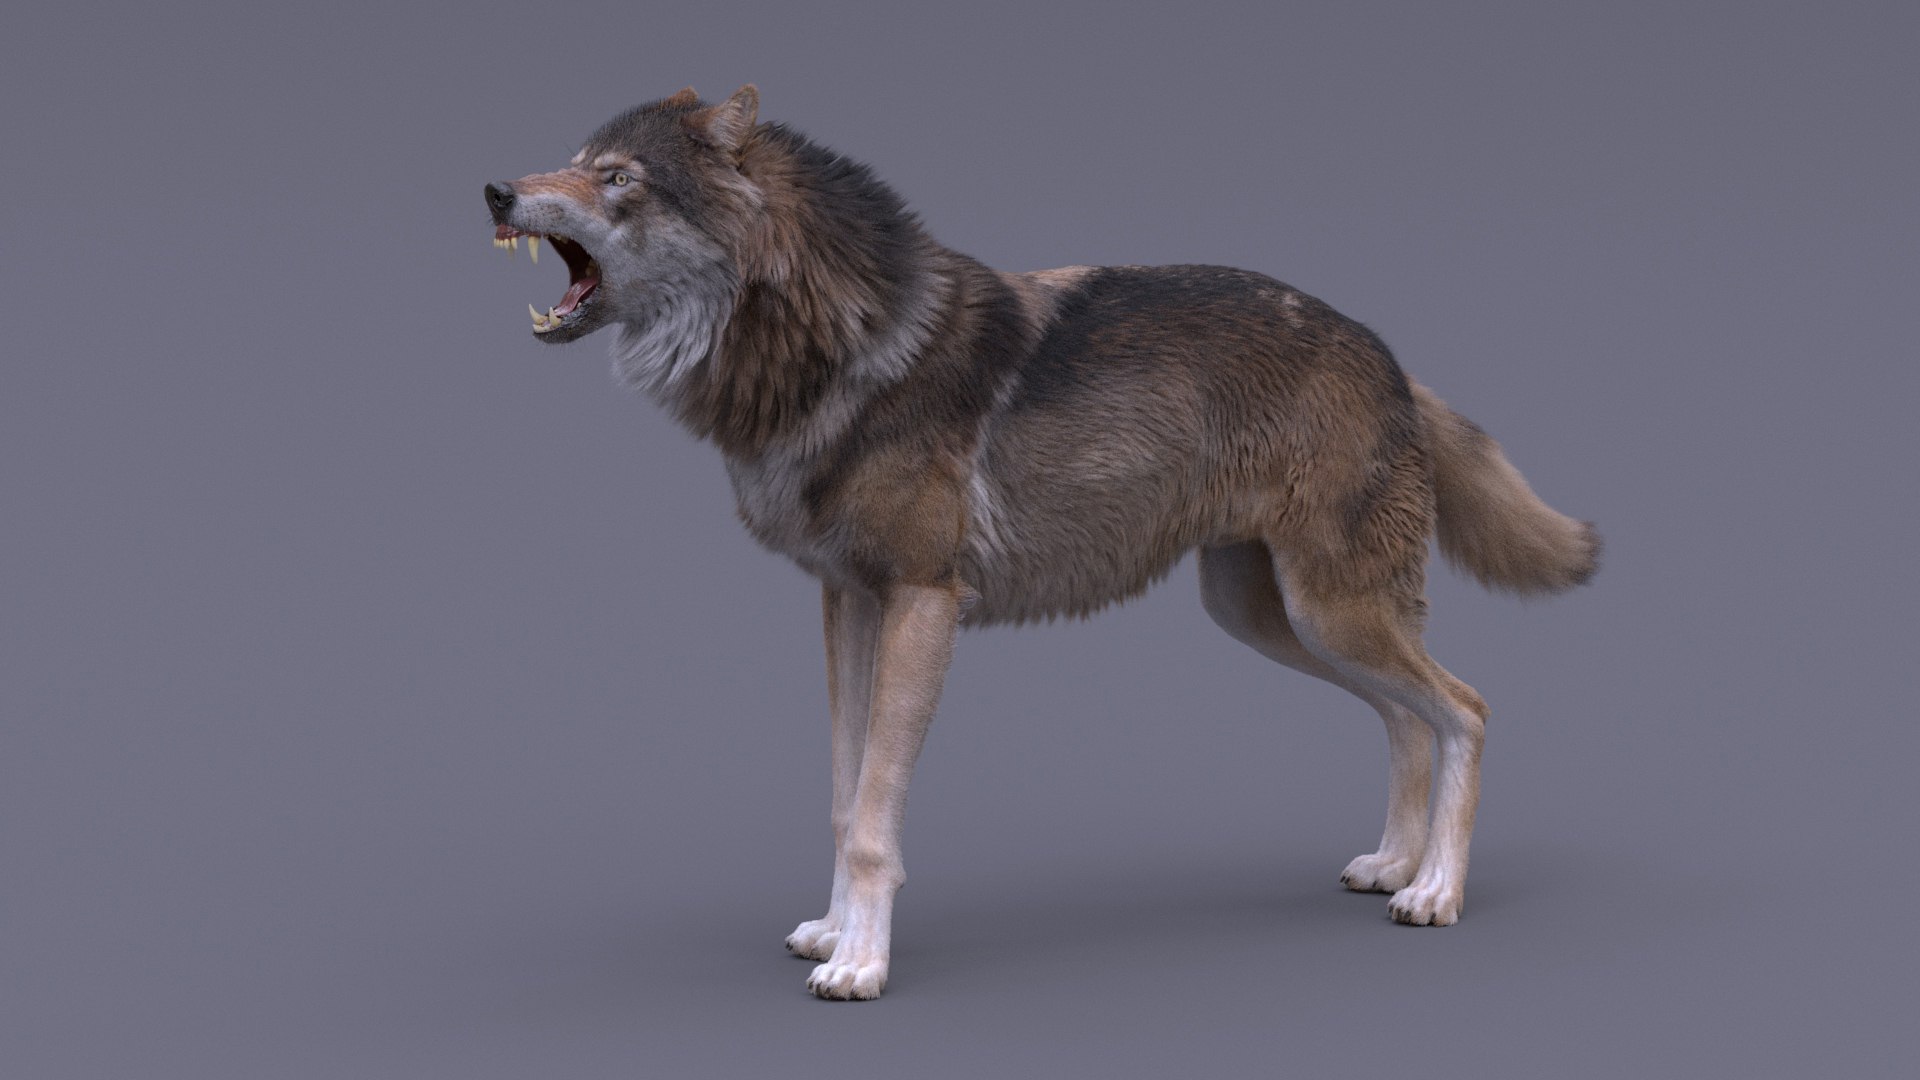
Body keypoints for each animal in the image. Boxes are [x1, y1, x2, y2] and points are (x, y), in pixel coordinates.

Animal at [482, 85, 1599, 1000]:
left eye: (615, 177)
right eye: (572, 157)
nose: (493, 188)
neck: (837, 350)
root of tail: (1392, 359)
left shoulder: (923, 602)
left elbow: (875, 818)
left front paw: (862, 965)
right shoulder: (846, 601)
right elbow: (844, 801)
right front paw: (835, 934)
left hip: (1326, 612)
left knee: (1465, 709)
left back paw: (1436, 891)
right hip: (1272, 618)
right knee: (1409, 717)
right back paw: (1393, 866)